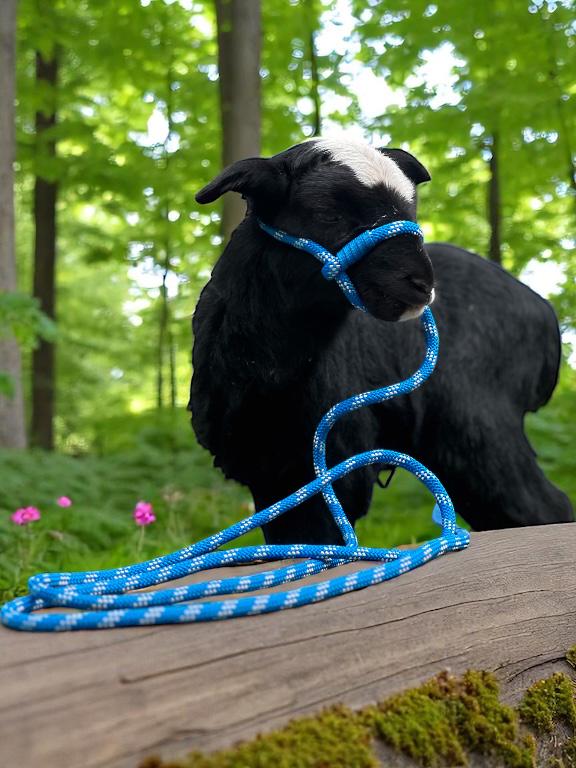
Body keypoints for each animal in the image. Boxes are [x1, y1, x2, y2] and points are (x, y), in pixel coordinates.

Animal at [189, 137, 573, 544]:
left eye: (411, 210)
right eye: (329, 212)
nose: (421, 283)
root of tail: (544, 312)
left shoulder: (335, 469)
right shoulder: (273, 477)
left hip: (477, 428)